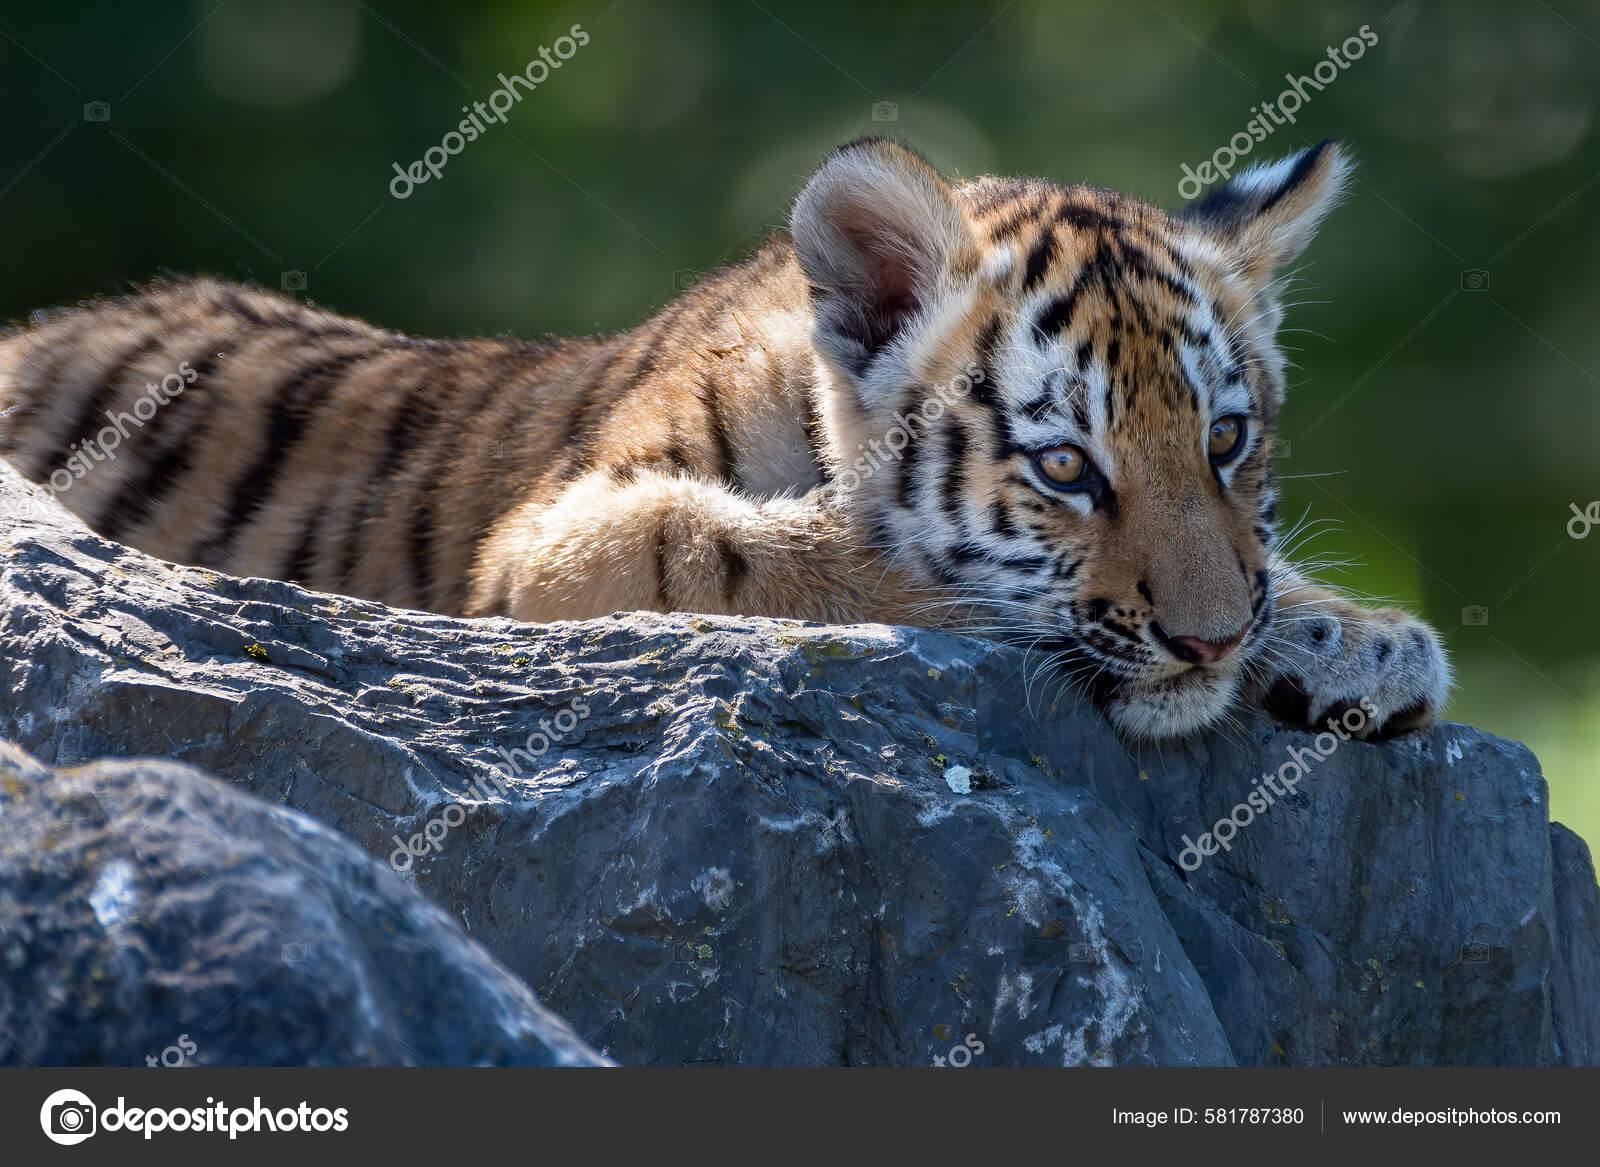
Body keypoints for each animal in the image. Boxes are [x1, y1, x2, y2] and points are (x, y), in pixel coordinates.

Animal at [0, 136, 1449, 740]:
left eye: (1226, 441)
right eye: (1063, 468)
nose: (1205, 647)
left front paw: (1356, 637)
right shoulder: (550, 543)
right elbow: (761, 549)